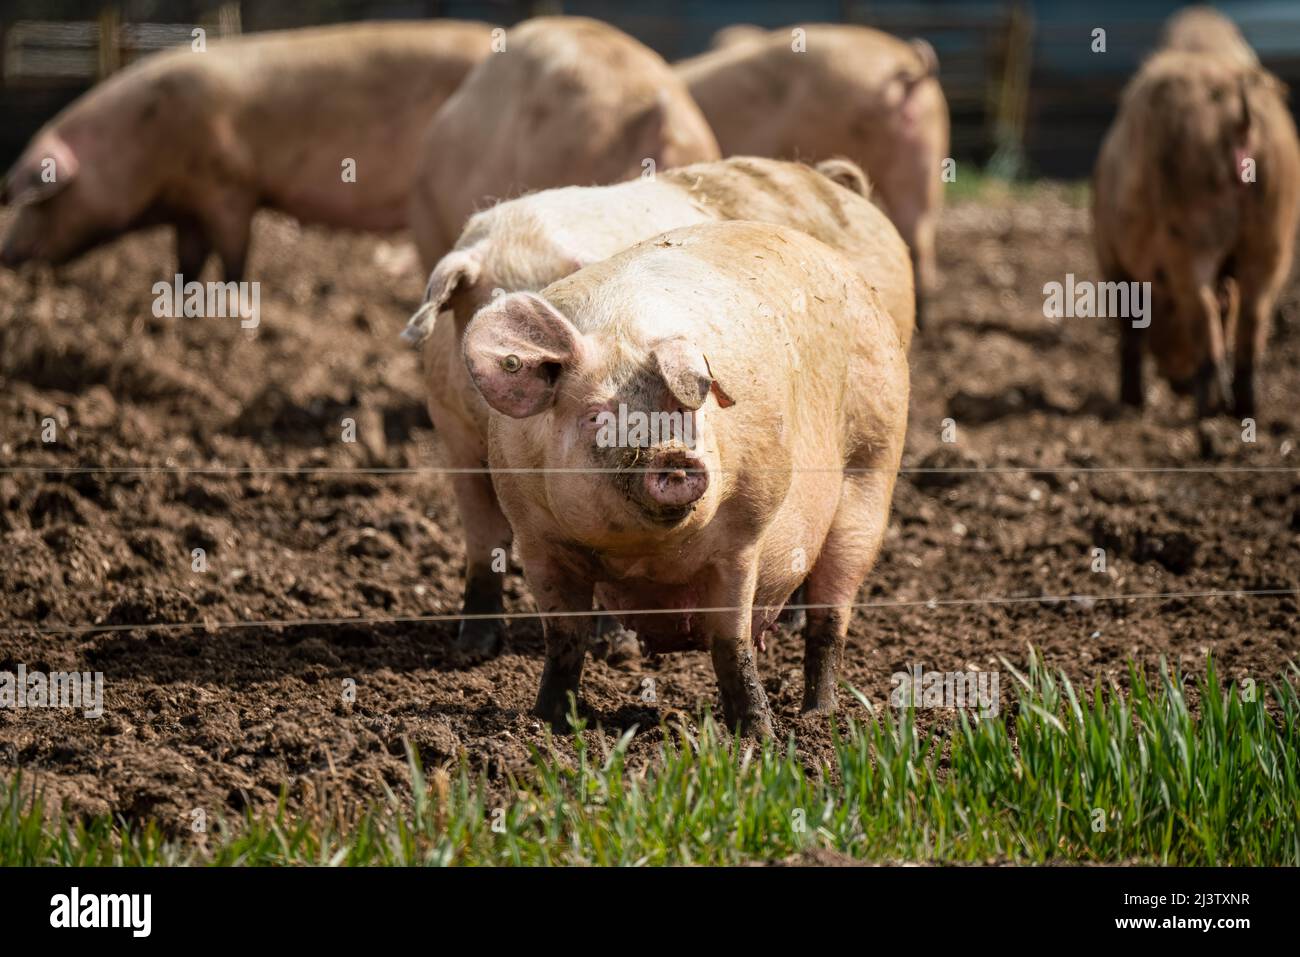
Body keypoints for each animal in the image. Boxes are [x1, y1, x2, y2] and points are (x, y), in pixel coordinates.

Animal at [0, 20, 494, 280]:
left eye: (40, 200)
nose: (5, 254)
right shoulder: (188, 206)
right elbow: (186, 259)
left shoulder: (228, 186)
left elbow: (234, 254)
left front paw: (232, 302)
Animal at [462, 221, 909, 735]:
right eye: (596, 417)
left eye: (686, 412)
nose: (673, 456)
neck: (645, 555)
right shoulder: (535, 537)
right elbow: (564, 639)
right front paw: (547, 725)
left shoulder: (742, 538)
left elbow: (731, 644)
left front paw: (758, 736)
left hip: (872, 467)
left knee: (830, 618)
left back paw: (819, 716)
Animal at [1093, 48, 1300, 419]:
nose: (1178, 385)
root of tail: (1239, 122)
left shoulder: (1109, 253)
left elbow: (1128, 326)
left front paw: (1131, 401)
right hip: (1276, 224)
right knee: (1253, 313)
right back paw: (1244, 407)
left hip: (1192, 233)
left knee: (1204, 310)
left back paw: (1209, 406)